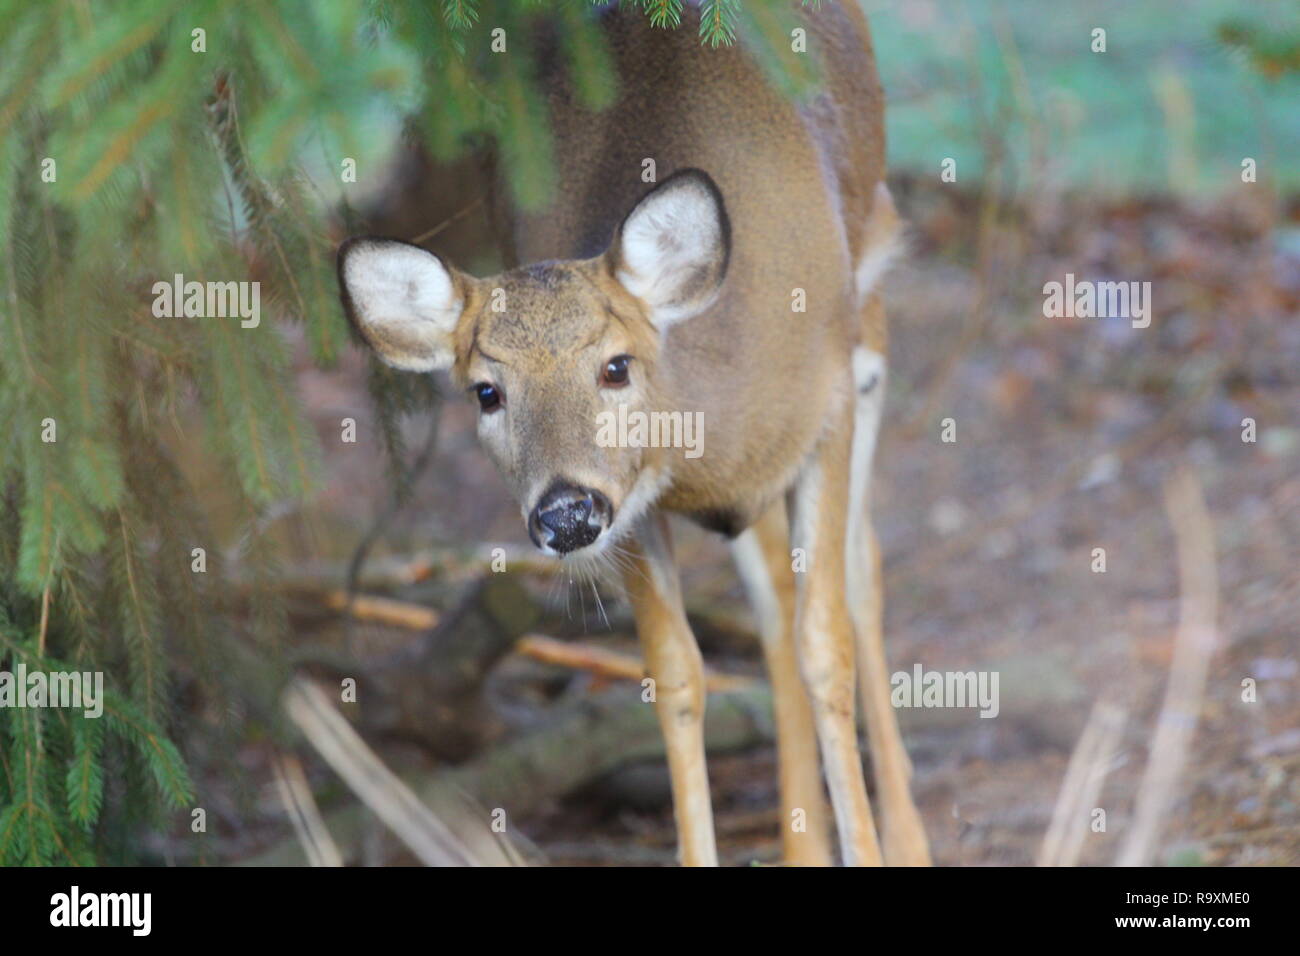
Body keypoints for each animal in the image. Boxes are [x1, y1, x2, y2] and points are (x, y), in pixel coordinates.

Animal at [336, 1, 929, 867]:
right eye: (487, 392)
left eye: (616, 367)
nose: (564, 512)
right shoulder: (638, 501)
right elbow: (677, 675)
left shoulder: (831, 409)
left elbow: (829, 644)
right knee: (772, 605)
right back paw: (802, 844)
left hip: (874, 299)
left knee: (864, 571)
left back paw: (906, 832)